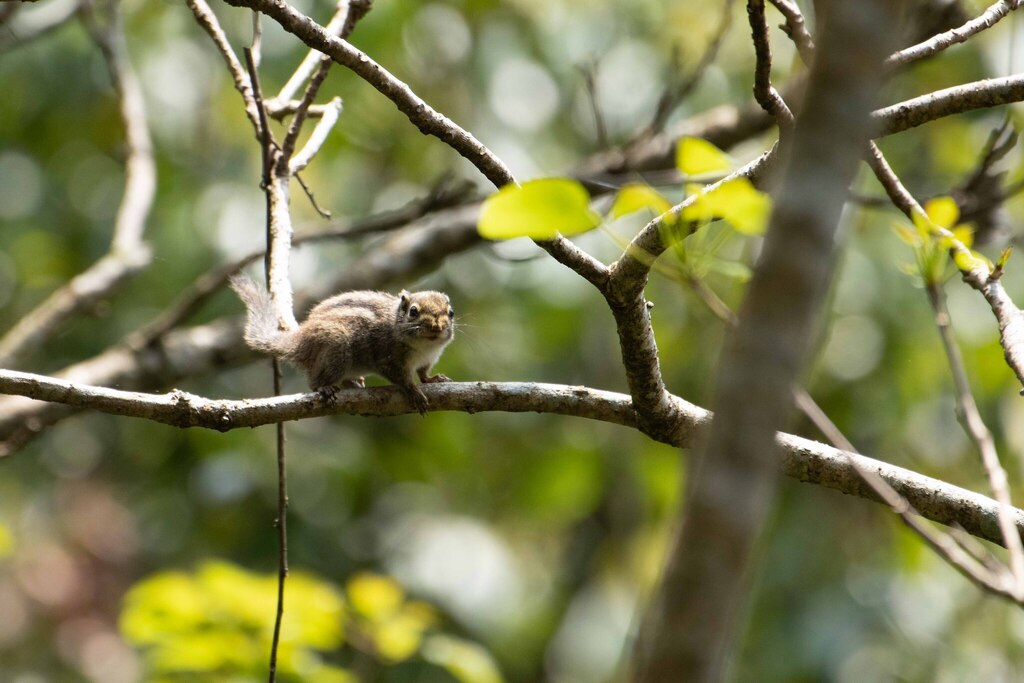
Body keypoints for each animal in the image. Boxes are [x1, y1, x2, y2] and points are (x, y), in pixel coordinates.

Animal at [229, 275, 455, 414]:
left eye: (450, 313)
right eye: (413, 312)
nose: (436, 326)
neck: (424, 348)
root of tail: (301, 342)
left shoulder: (429, 359)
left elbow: (423, 373)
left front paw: (433, 379)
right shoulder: (387, 356)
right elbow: (402, 378)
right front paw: (414, 391)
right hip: (336, 347)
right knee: (314, 381)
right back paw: (324, 387)